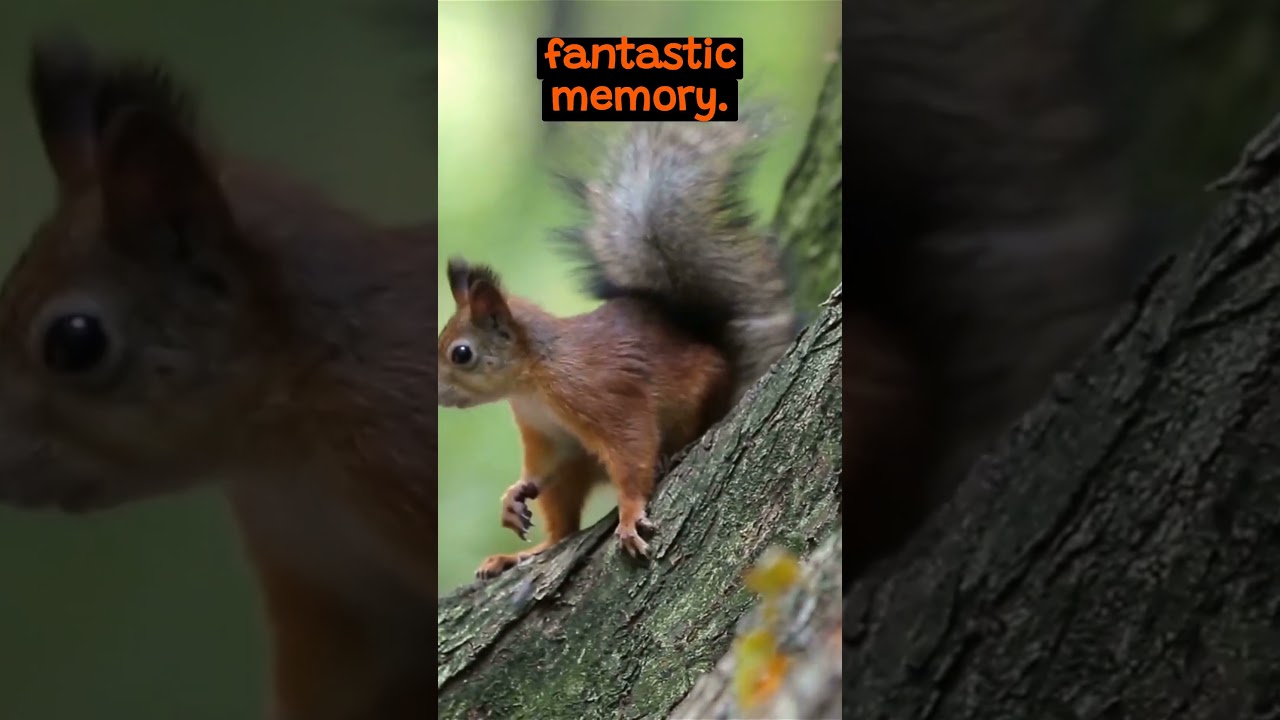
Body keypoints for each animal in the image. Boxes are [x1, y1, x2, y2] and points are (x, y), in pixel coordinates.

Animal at [437, 120, 799, 579]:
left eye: (461, 353)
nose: (435, 393)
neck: (533, 381)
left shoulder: (598, 392)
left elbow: (632, 449)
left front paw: (628, 516)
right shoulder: (548, 435)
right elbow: (544, 467)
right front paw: (514, 493)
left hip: (700, 396)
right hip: (576, 472)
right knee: (561, 528)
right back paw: (518, 556)